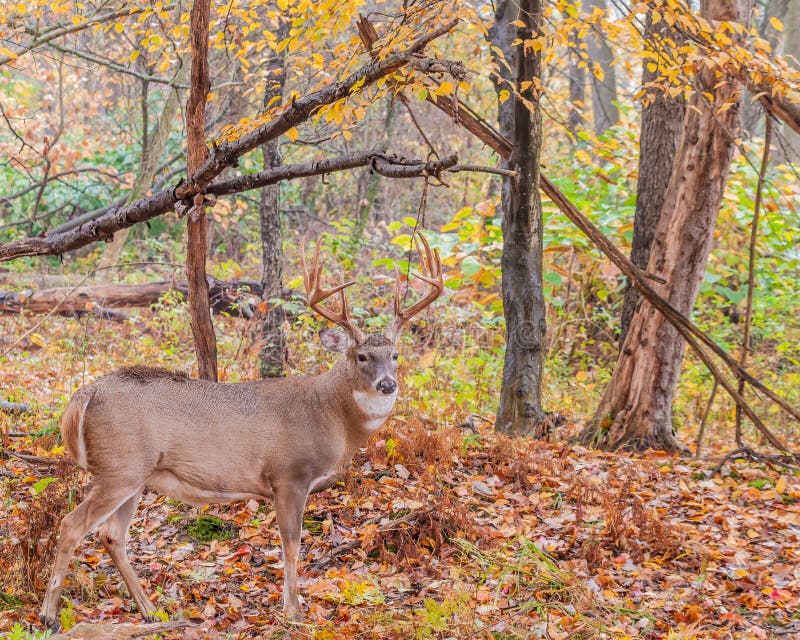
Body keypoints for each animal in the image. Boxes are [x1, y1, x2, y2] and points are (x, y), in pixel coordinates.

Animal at [39, 233, 443, 629]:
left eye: (395, 356)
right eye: (361, 356)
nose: (388, 384)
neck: (329, 414)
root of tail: (87, 394)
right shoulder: (289, 476)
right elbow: (291, 545)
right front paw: (293, 613)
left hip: (136, 475)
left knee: (111, 535)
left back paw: (150, 610)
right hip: (120, 466)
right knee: (72, 524)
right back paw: (49, 615)